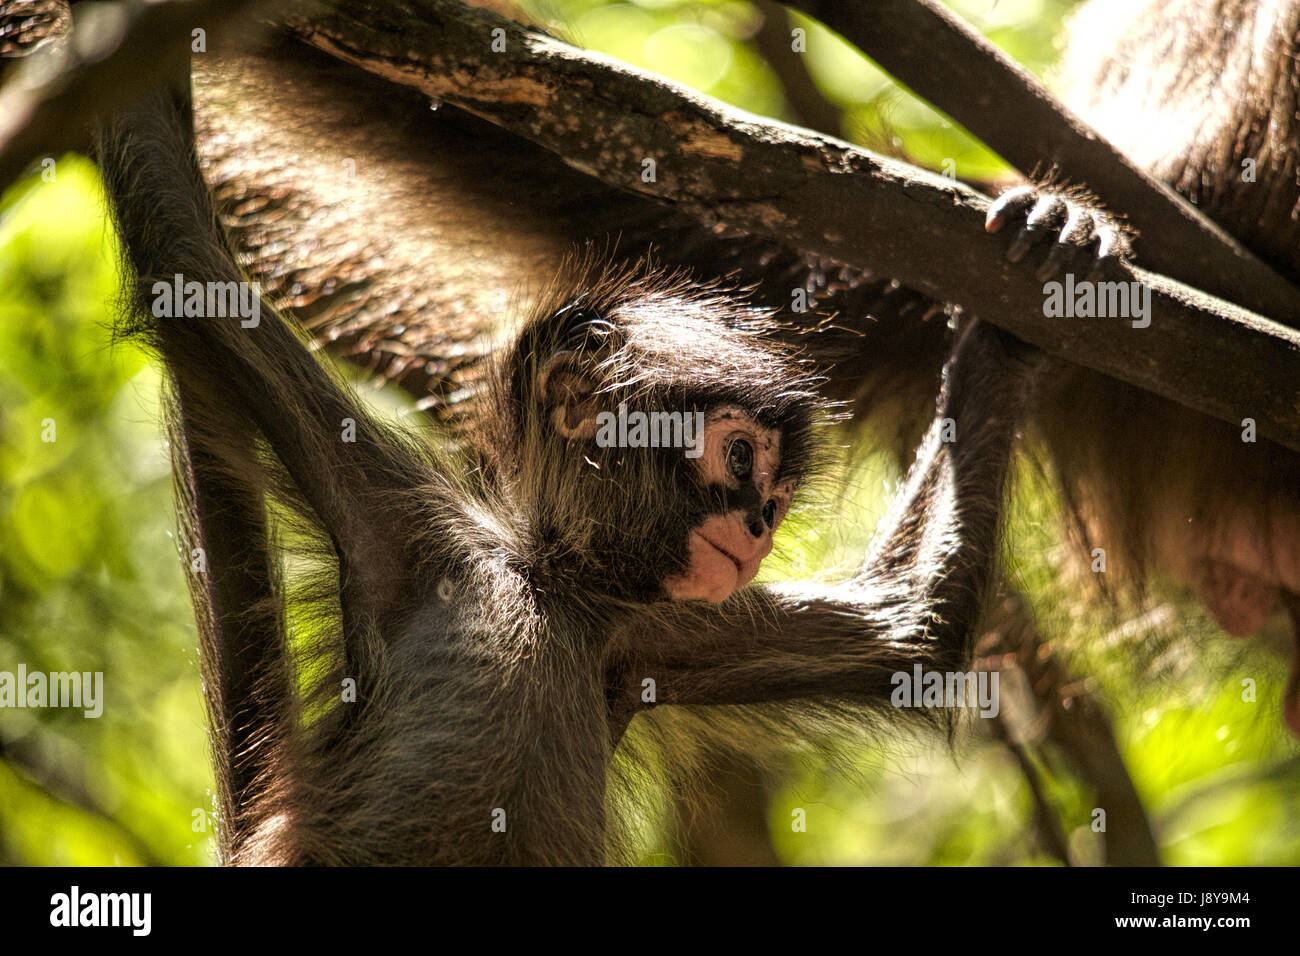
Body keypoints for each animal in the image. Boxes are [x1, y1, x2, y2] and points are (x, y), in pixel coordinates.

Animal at [96, 78, 1044, 864]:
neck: (546, 582)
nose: (758, 527)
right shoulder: (397, 519)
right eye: (739, 457)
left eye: (776, 500)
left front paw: (1034, 269)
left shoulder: (640, 631)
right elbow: (185, 255)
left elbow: (914, 625)